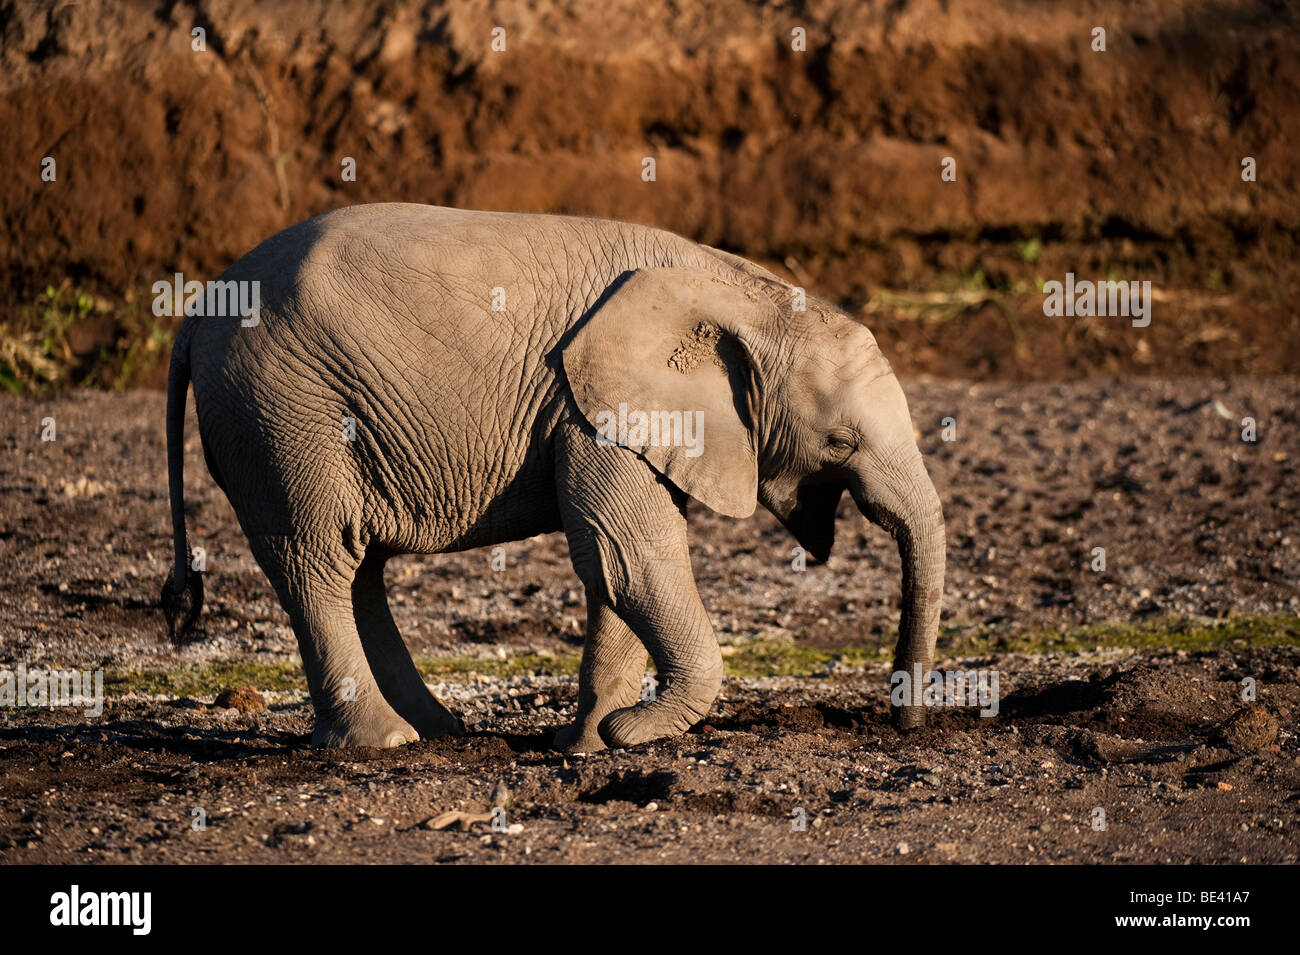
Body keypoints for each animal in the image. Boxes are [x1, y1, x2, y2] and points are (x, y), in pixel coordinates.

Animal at [161, 203, 946, 751]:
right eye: (841, 442)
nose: (902, 725)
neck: (741, 294)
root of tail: (196, 315)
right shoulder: (585, 406)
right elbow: (632, 555)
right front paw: (631, 732)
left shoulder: (615, 414)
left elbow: (616, 565)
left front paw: (590, 743)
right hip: (283, 413)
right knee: (317, 559)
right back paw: (384, 741)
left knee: (360, 568)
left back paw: (440, 731)